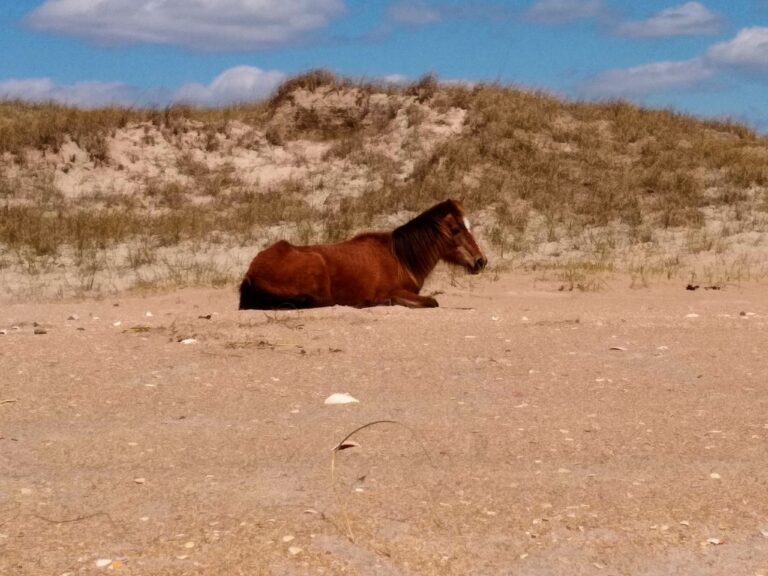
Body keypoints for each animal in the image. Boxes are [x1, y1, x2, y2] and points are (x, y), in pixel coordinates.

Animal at [238, 199, 487, 309]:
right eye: (455, 230)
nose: (481, 261)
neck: (400, 258)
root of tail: (252, 272)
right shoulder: (398, 291)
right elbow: (432, 301)